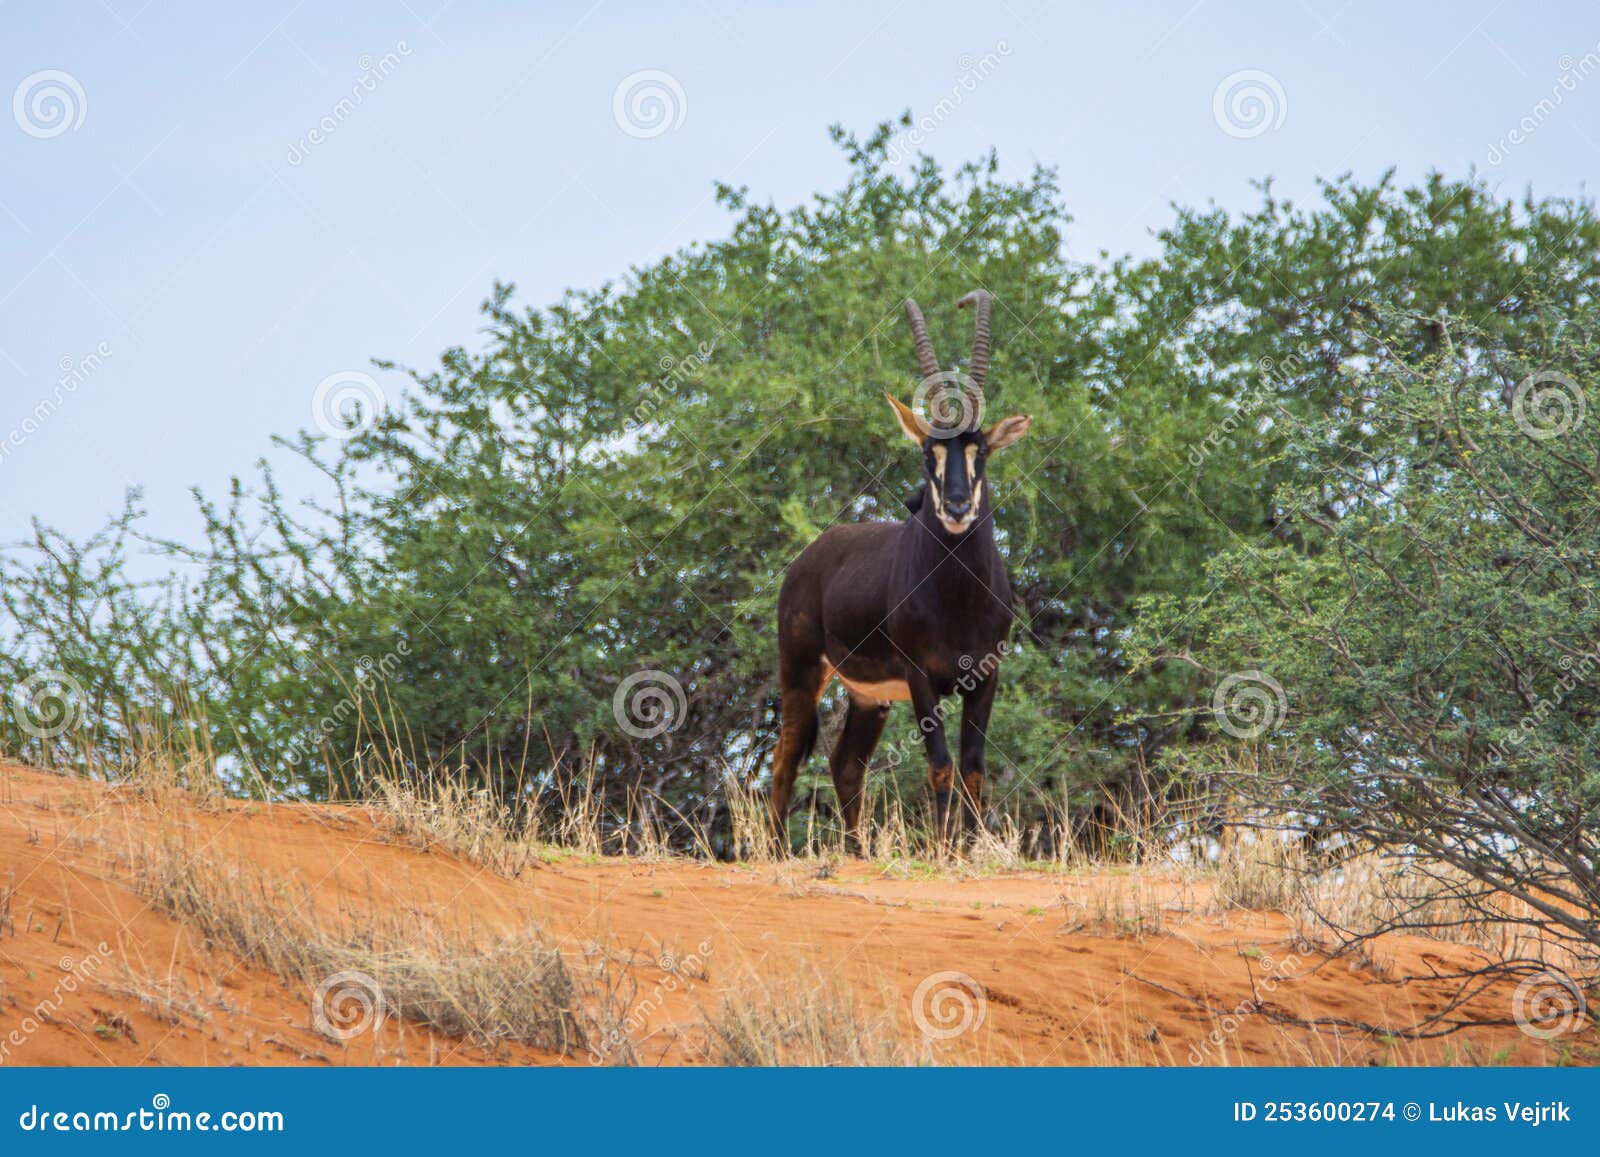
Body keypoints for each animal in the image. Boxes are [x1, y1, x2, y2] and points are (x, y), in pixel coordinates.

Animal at [767, 290, 1032, 851]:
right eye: (929, 451)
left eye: (981, 449)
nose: (956, 507)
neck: (960, 598)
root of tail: (808, 559)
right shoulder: (920, 678)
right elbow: (941, 766)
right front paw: (944, 850)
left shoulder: (985, 676)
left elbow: (974, 766)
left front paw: (969, 849)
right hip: (802, 671)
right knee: (786, 755)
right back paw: (776, 852)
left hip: (869, 698)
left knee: (846, 763)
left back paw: (857, 851)